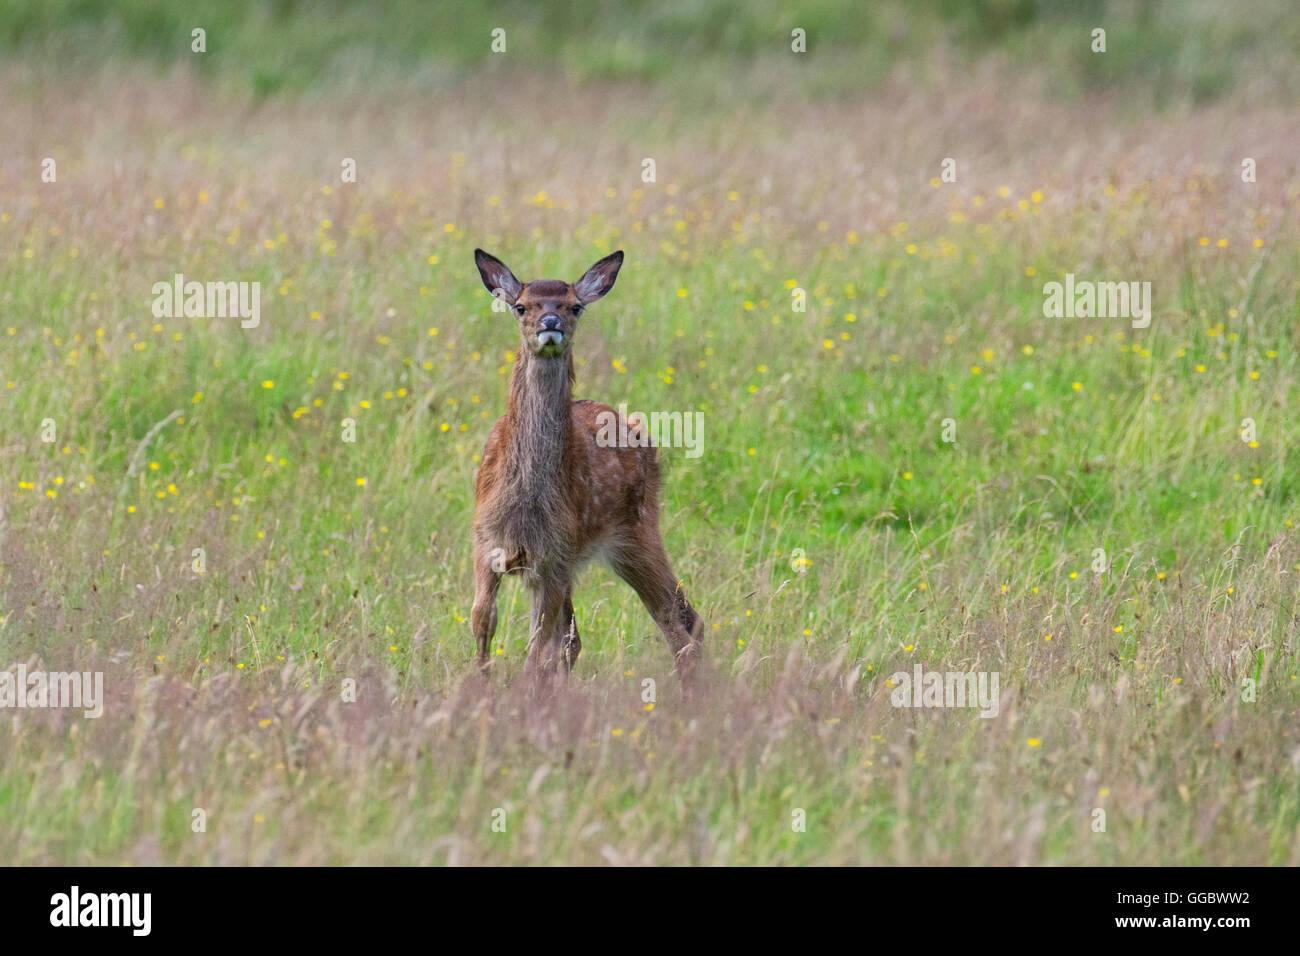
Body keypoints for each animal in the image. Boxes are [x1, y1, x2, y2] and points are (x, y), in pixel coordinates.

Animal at [470, 248, 704, 684]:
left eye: (574, 306)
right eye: (520, 305)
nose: (550, 323)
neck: (525, 502)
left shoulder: (555, 555)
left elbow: (537, 646)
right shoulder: (487, 542)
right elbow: (482, 621)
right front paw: (480, 686)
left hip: (637, 531)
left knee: (679, 618)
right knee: (577, 638)